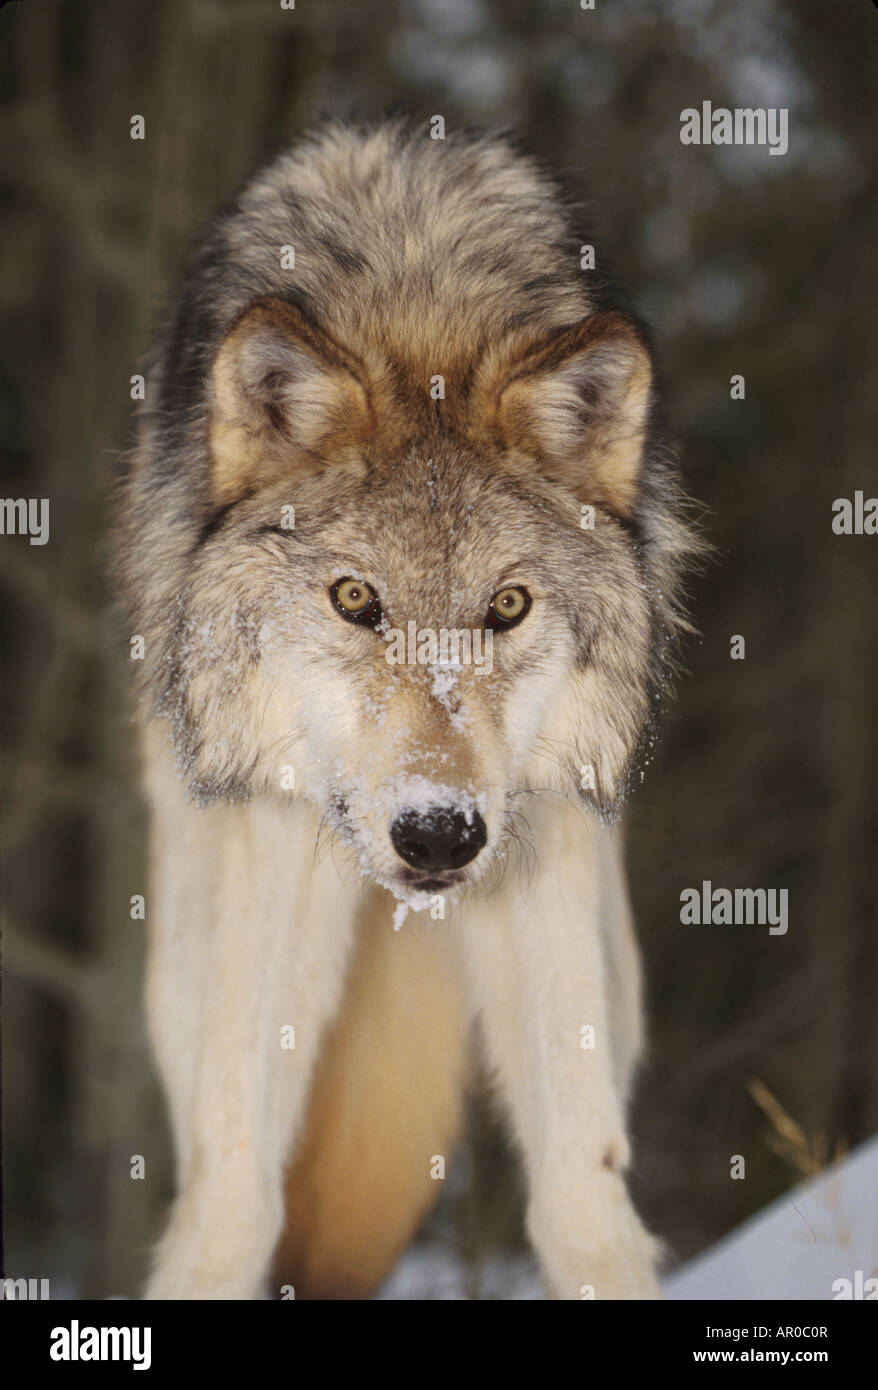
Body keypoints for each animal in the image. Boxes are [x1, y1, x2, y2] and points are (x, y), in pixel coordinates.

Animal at [116, 120, 698, 1300]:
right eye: (355, 600)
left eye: (508, 607)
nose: (437, 834)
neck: (418, 305)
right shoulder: (277, 831)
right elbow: (233, 1193)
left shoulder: (544, 836)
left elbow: (582, 1199)